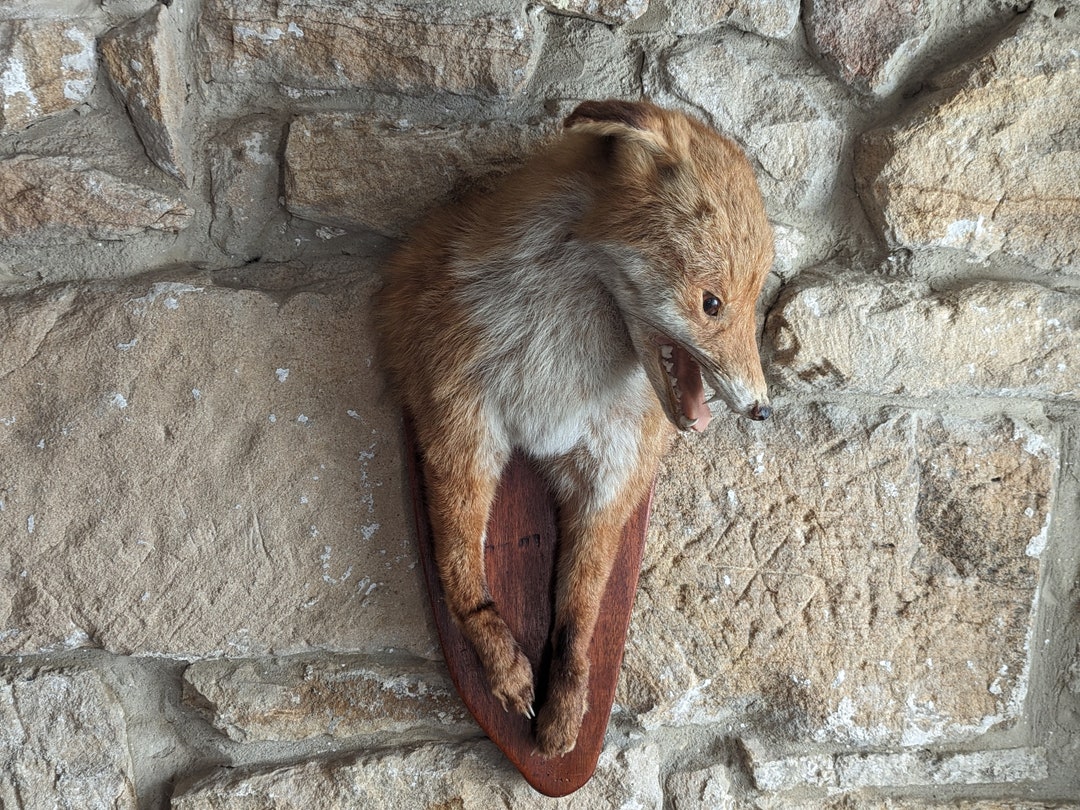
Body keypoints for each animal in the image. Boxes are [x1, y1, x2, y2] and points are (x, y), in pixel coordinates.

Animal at [376, 99, 773, 758]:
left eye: (756, 300)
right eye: (712, 303)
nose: (766, 410)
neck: (559, 373)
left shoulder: (614, 473)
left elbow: (580, 614)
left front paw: (566, 709)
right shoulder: (456, 422)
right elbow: (459, 573)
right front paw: (505, 671)